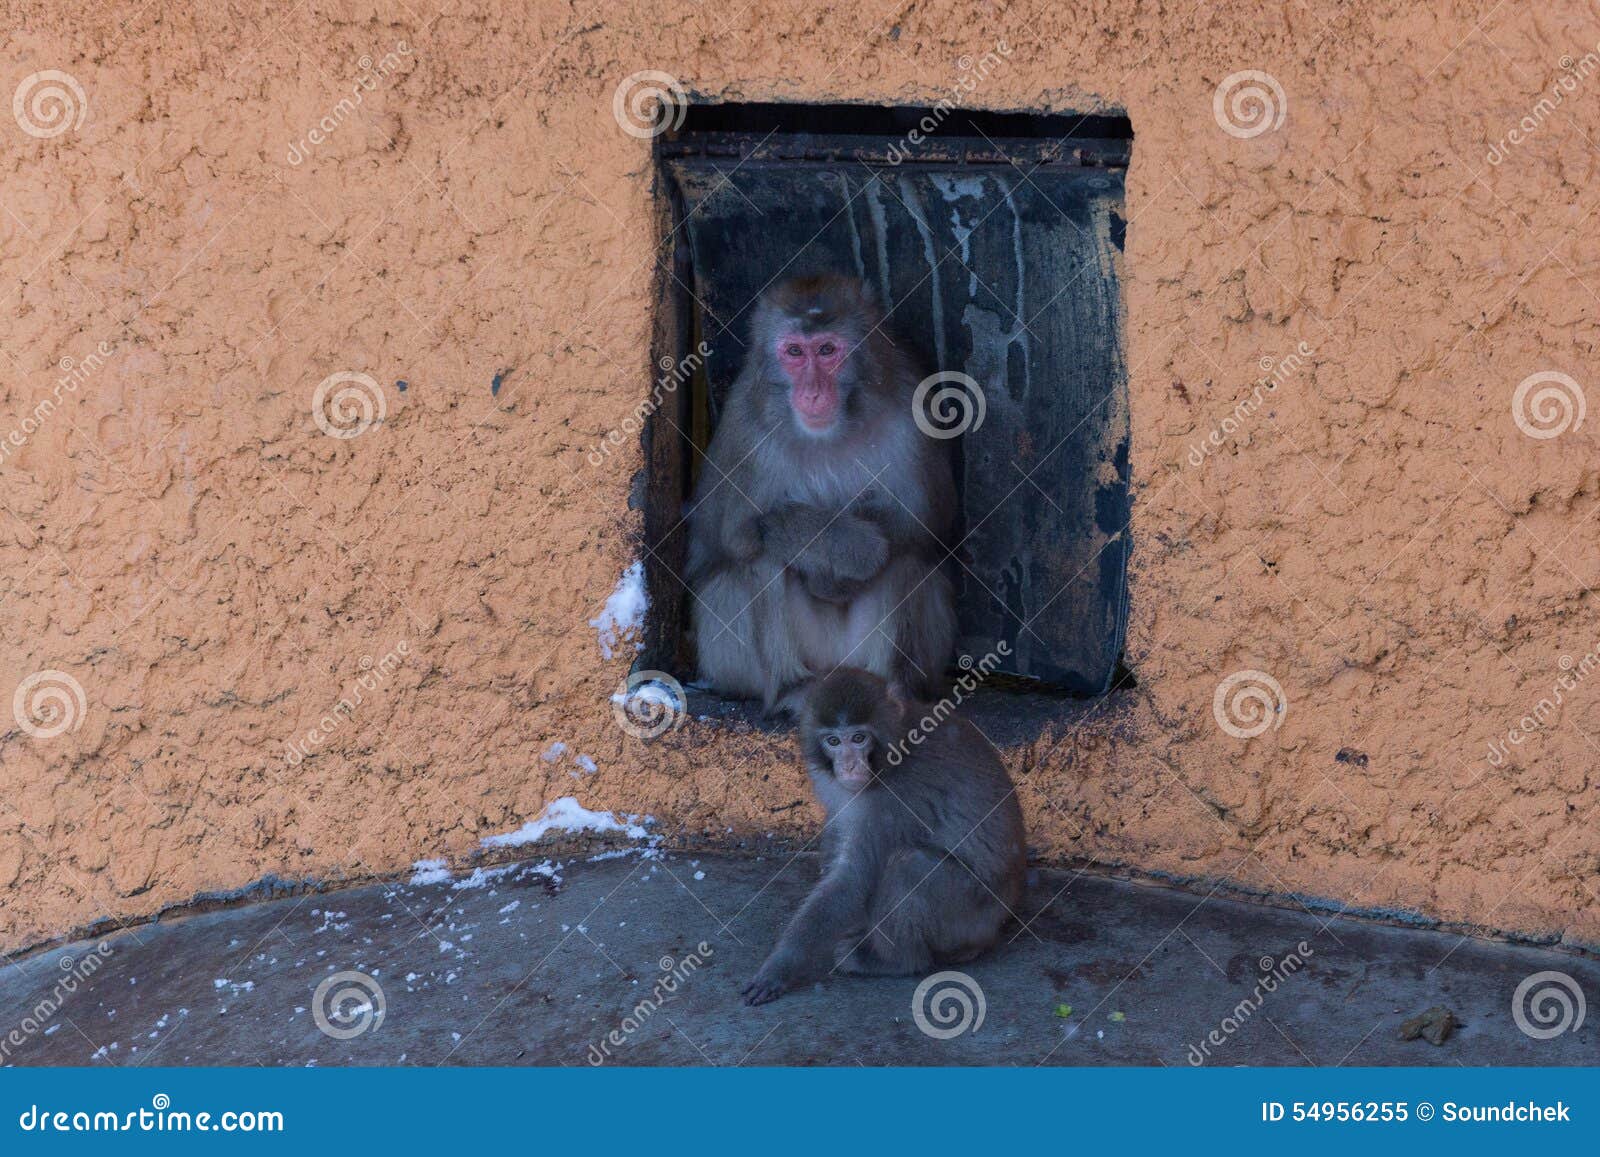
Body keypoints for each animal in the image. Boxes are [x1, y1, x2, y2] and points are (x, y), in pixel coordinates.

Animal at [685, 275, 958, 713]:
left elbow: (928, 522)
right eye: (795, 352)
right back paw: (792, 689)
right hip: (732, 659)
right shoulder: (746, 426)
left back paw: (892, 691)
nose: (812, 393)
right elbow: (735, 534)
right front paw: (849, 545)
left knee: (905, 552)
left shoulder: (912, 410)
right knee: (763, 553)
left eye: (827, 350)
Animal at [742, 667, 1026, 1005]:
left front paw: (780, 966)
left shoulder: (891, 800)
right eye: (833, 741)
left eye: (859, 737)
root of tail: (1005, 914)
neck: (895, 747)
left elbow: (853, 880)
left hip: (972, 916)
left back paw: (895, 962)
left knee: (908, 865)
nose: (849, 765)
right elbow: (839, 833)